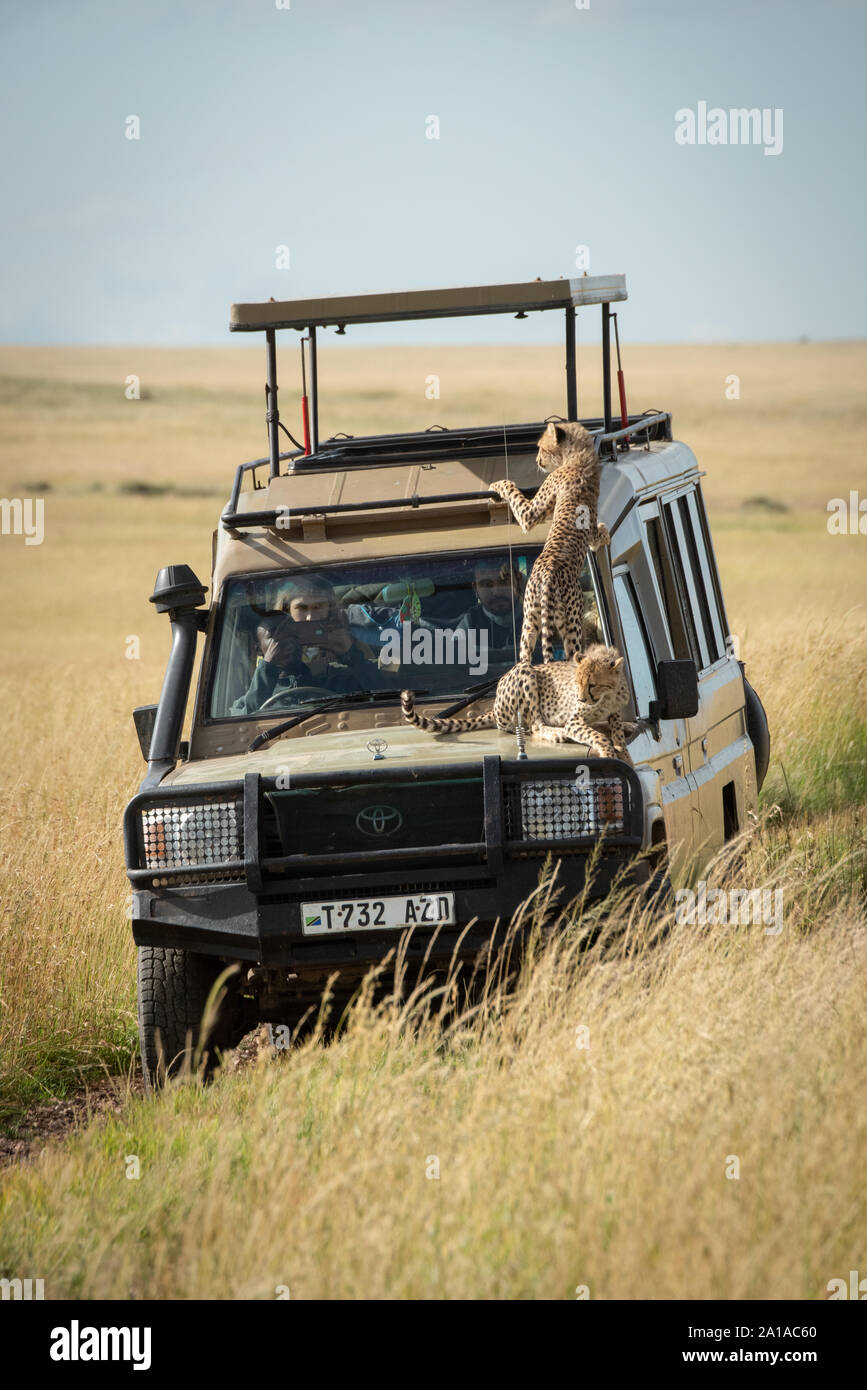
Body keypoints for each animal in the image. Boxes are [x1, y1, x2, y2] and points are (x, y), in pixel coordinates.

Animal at [401, 644, 633, 762]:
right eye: (577, 683)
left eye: (592, 684)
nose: (581, 698)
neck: (607, 696)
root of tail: (494, 706)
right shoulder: (574, 721)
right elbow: (598, 736)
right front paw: (608, 752)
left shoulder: (614, 710)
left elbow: (616, 729)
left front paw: (622, 748)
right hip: (525, 671)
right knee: (535, 726)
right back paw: (557, 733)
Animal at [489, 420, 610, 663]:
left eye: (542, 448)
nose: (537, 461)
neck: (578, 457)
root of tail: (548, 573)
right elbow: (596, 534)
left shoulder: (531, 514)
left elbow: (512, 491)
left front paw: (498, 484)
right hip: (537, 619)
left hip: (560, 621)